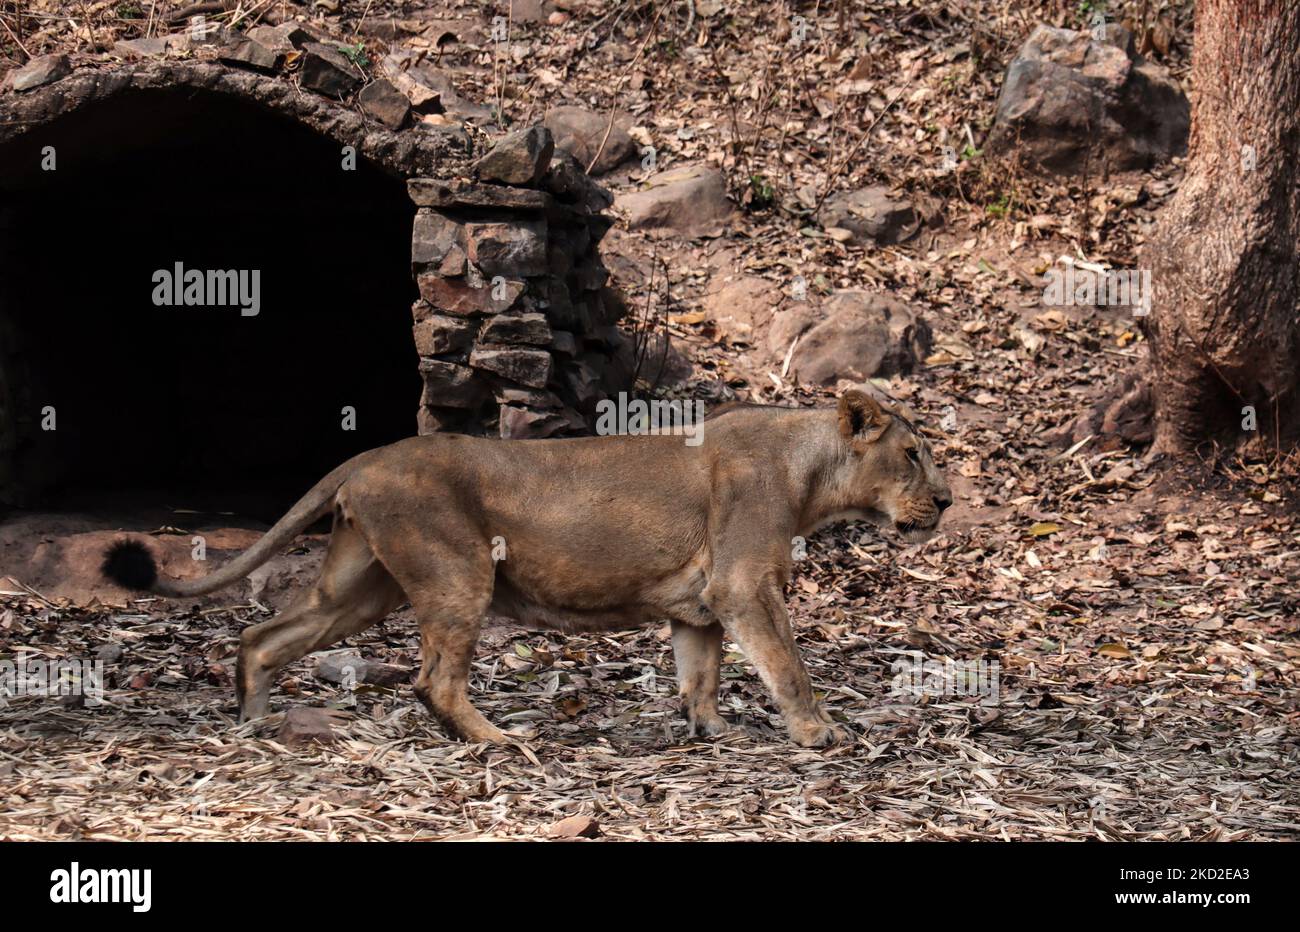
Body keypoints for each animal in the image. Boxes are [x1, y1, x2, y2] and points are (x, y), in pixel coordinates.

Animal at [102, 390, 952, 747]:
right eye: (912, 453)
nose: (946, 500)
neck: (810, 474)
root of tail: (366, 455)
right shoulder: (743, 585)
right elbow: (789, 664)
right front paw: (819, 733)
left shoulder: (699, 604)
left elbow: (701, 673)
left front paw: (710, 729)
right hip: (457, 572)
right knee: (432, 681)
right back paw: (499, 741)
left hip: (360, 587)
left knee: (264, 636)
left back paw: (252, 719)